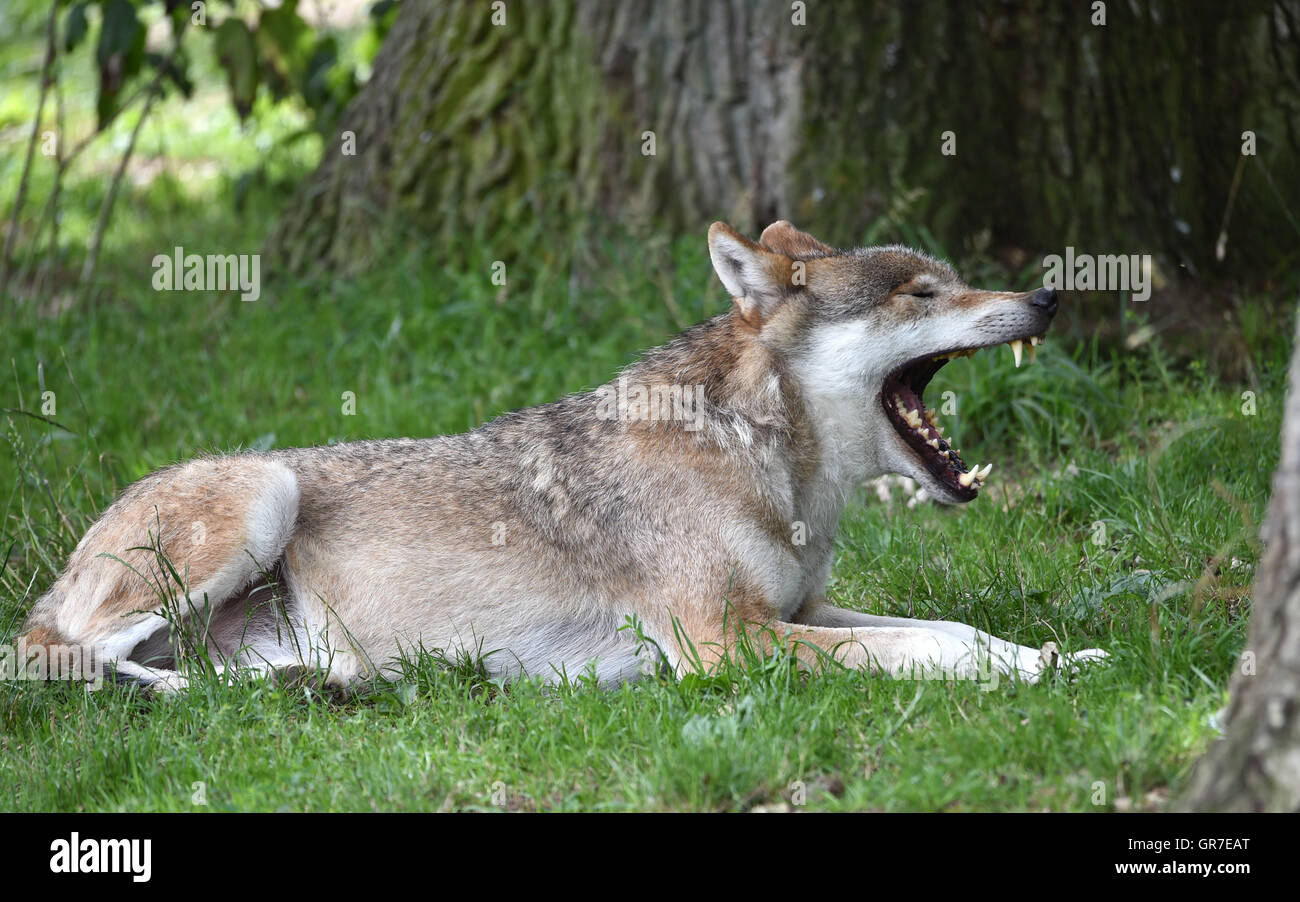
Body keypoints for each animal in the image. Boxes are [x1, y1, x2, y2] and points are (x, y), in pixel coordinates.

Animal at [17, 221, 1106, 692]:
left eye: (952, 281)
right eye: (922, 294)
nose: (1049, 296)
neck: (771, 466)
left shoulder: (802, 609)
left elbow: (953, 625)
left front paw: (1060, 657)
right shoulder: (726, 644)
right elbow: (936, 646)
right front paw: (1030, 673)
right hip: (261, 494)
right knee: (50, 657)